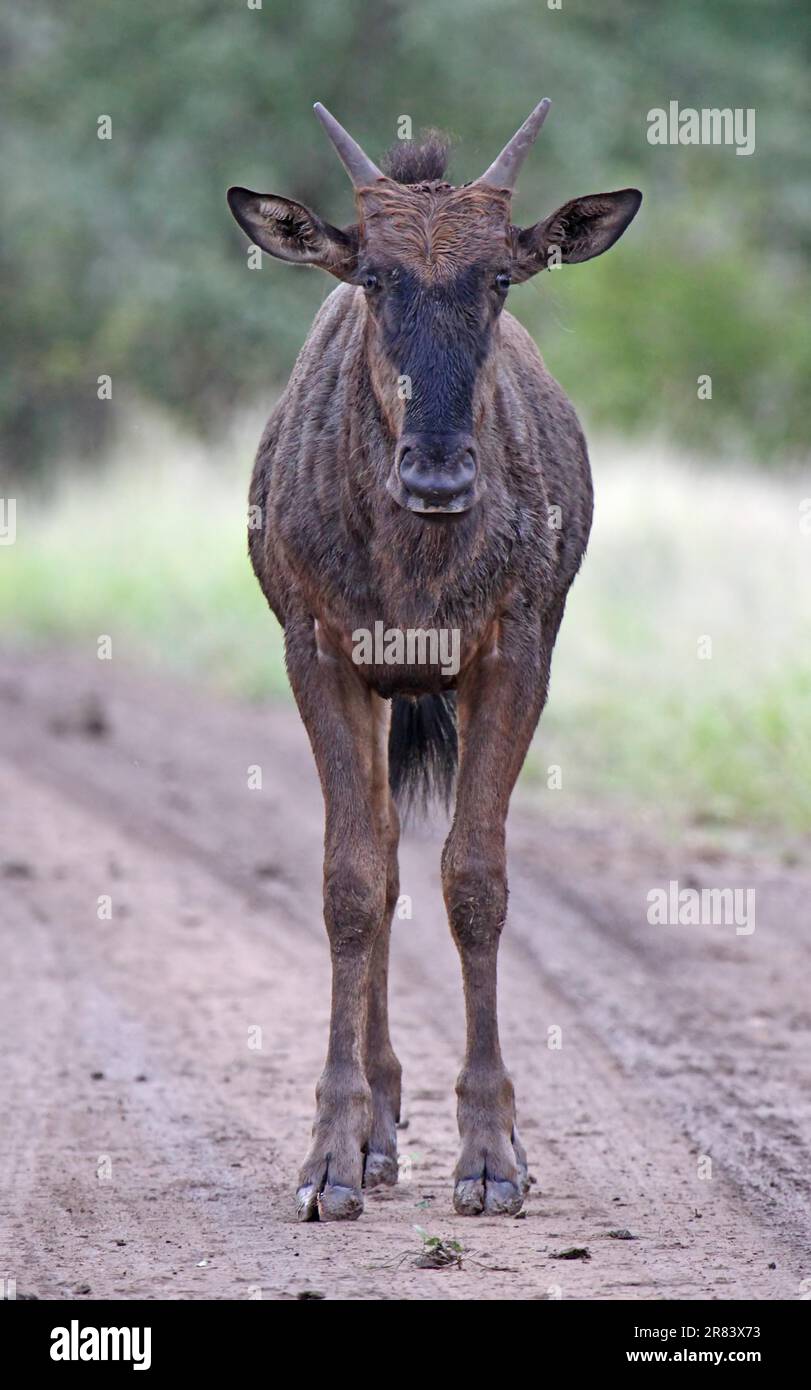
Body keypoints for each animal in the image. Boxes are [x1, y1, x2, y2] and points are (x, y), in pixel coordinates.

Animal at [227, 99, 641, 1220]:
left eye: (500, 276)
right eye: (372, 277)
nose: (439, 473)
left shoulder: (513, 653)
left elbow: (475, 879)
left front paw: (494, 1156)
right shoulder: (321, 654)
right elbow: (351, 880)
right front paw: (330, 1158)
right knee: (377, 851)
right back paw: (376, 1126)